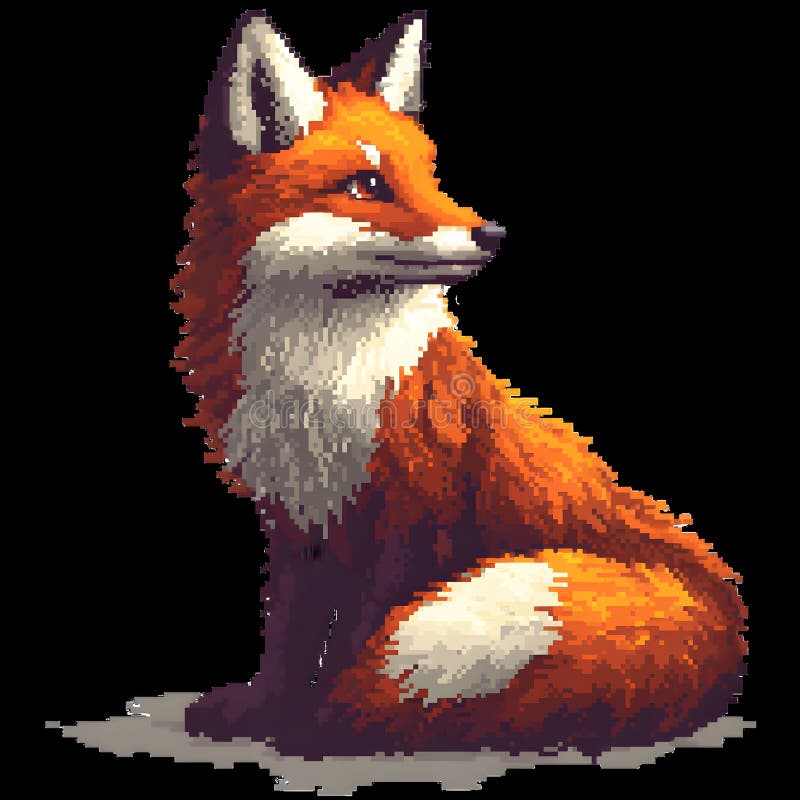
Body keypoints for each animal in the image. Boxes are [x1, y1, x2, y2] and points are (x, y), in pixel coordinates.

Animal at [172, 10, 746, 758]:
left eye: (430, 173)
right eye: (367, 185)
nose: (492, 232)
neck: (325, 384)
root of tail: (727, 612)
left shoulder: (416, 514)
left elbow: (358, 639)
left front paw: (318, 723)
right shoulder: (297, 512)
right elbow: (289, 636)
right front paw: (267, 710)